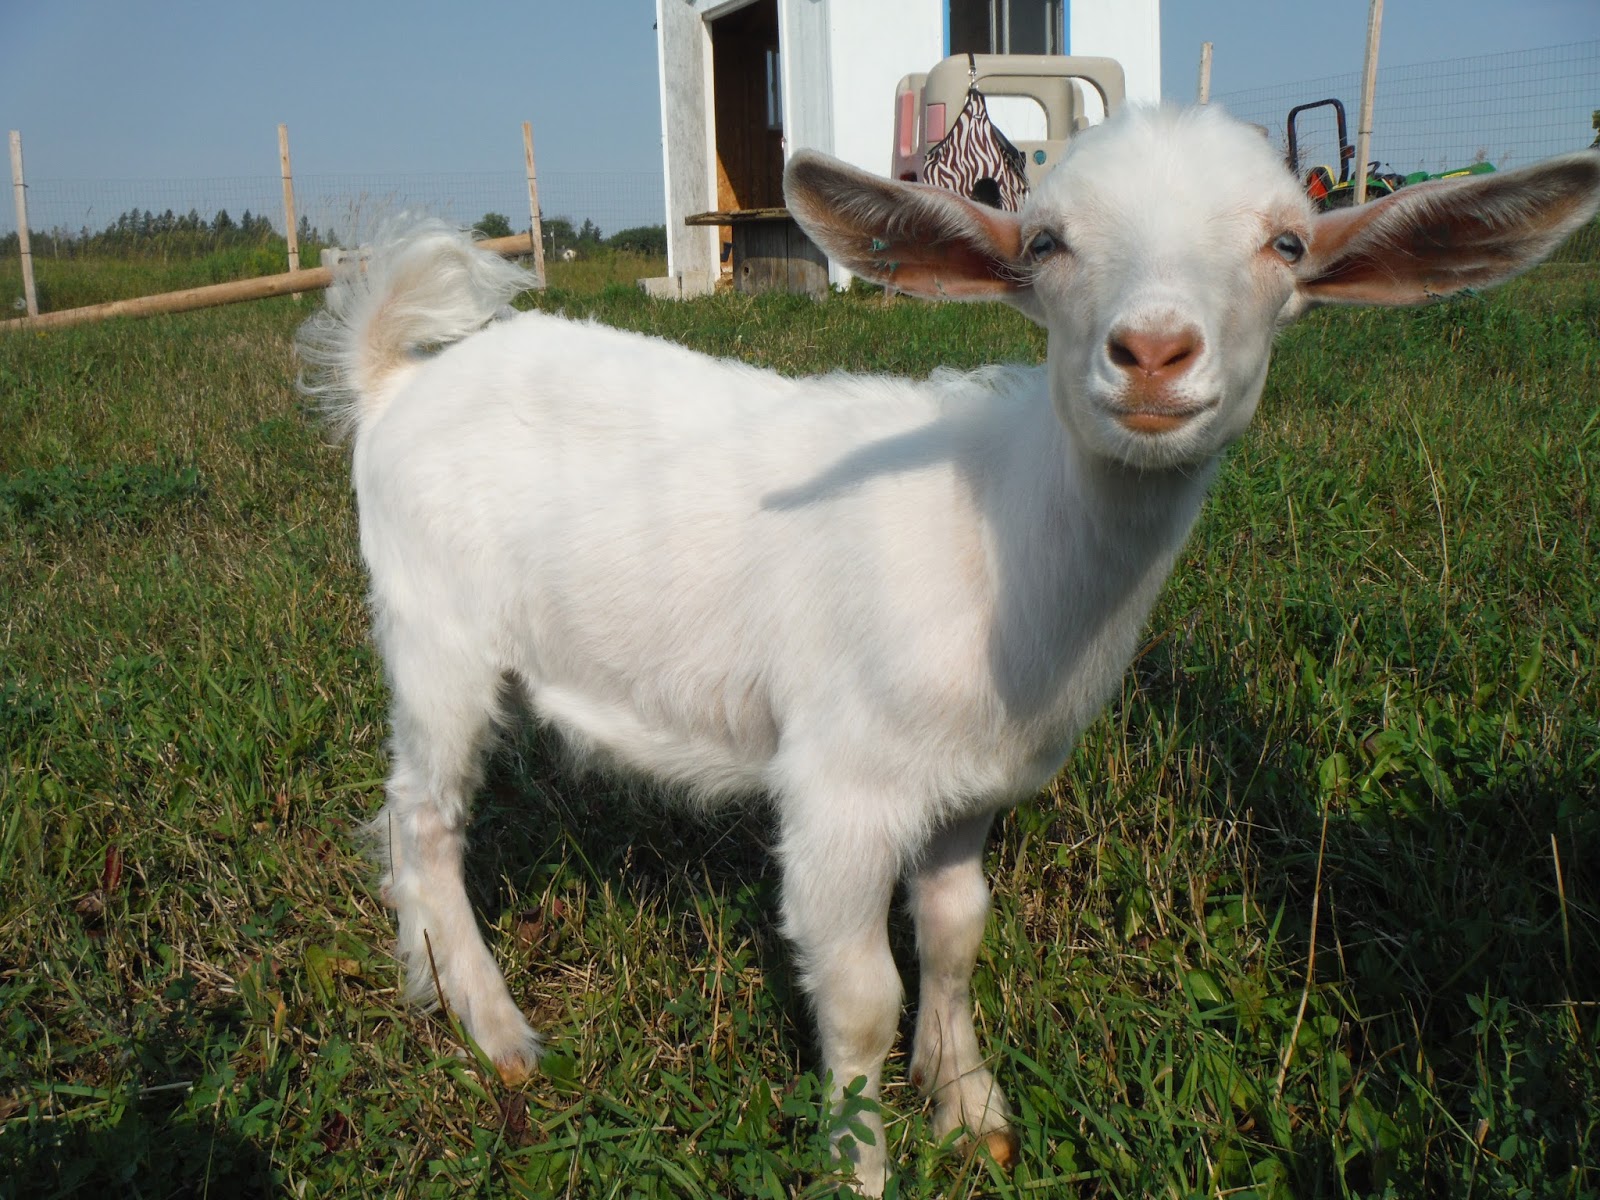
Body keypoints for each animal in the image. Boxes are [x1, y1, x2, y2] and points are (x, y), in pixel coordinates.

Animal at [299, 105, 1600, 1194]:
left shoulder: (971, 784)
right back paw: (498, 1032)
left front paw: (970, 1108)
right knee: (422, 818)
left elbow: (958, 932)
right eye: (1046, 242)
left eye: (1286, 243)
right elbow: (860, 996)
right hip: (435, 631)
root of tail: (394, 378)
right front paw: (862, 1165)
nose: (1152, 353)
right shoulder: (837, 789)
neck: (1005, 541)